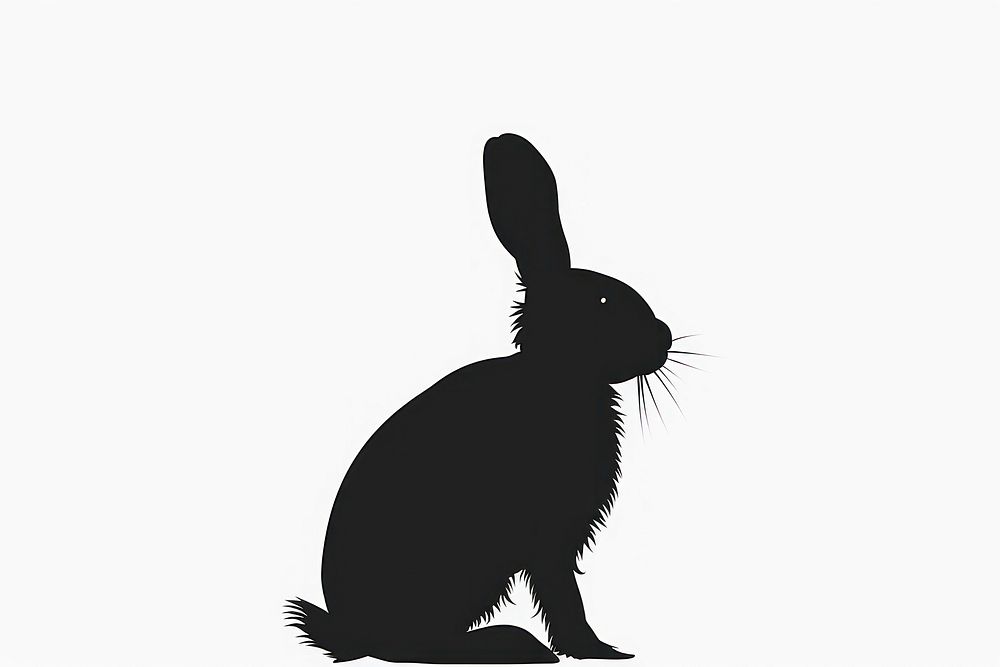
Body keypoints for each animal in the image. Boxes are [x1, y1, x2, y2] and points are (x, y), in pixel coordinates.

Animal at [286, 134, 673, 663]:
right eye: (603, 303)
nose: (666, 337)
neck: (556, 375)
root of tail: (350, 630)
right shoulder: (549, 536)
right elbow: (562, 594)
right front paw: (599, 651)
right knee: (415, 643)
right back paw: (512, 643)